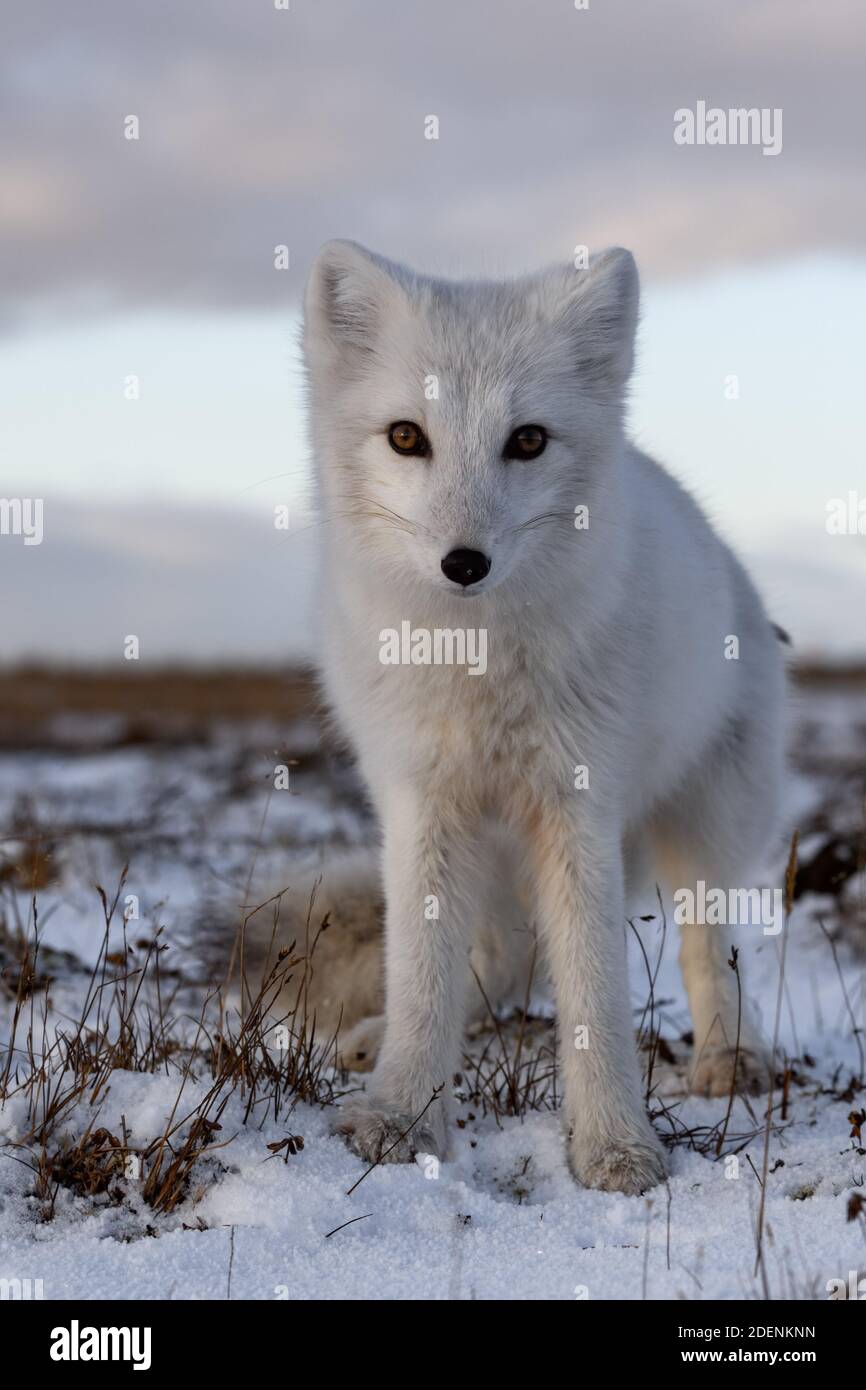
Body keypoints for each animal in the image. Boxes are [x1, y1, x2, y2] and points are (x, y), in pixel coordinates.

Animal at [284, 239, 786, 1195]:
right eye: (406, 437)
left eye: (527, 441)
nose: (464, 563)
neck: (477, 665)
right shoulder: (422, 805)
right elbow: (423, 975)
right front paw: (401, 1113)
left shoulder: (578, 806)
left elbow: (593, 989)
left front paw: (616, 1148)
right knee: (496, 962)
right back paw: (388, 1037)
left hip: (702, 825)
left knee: (709, 950)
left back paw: (728, 1060)